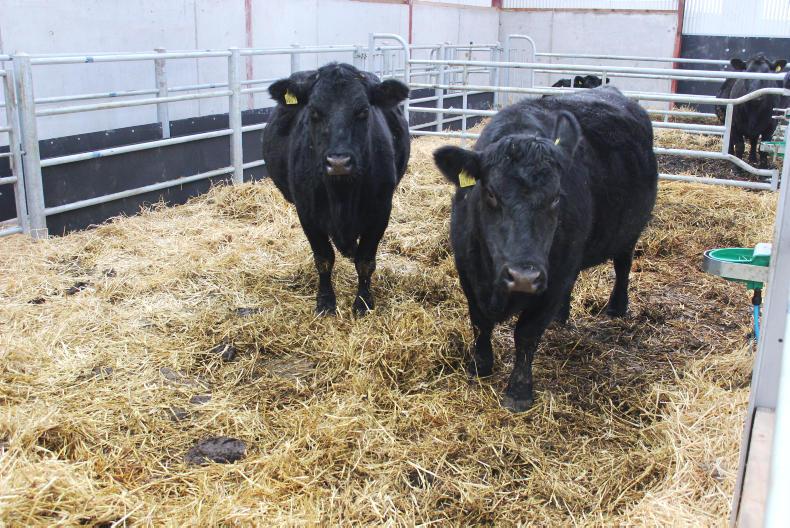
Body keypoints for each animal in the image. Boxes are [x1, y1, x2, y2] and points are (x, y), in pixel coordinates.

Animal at [262, 63, 410, 316]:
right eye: (313, 112)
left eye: (363, 111)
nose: (338, 162)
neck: (342, 195)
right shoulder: (307, 213)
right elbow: (323, 259)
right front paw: (325, 302)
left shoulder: (381, 211)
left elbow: (365, 262)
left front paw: (363, 302)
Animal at [433, 86, 657, 412]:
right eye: (491, 193)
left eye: (555, 197)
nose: (524, 276)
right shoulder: (468, 272)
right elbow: (480, 322)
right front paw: (480, 367)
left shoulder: (553, 279)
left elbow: (526, 334)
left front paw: (519, 392)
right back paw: (560, 318)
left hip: (629, 230)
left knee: (623, 265)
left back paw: (616, 307)